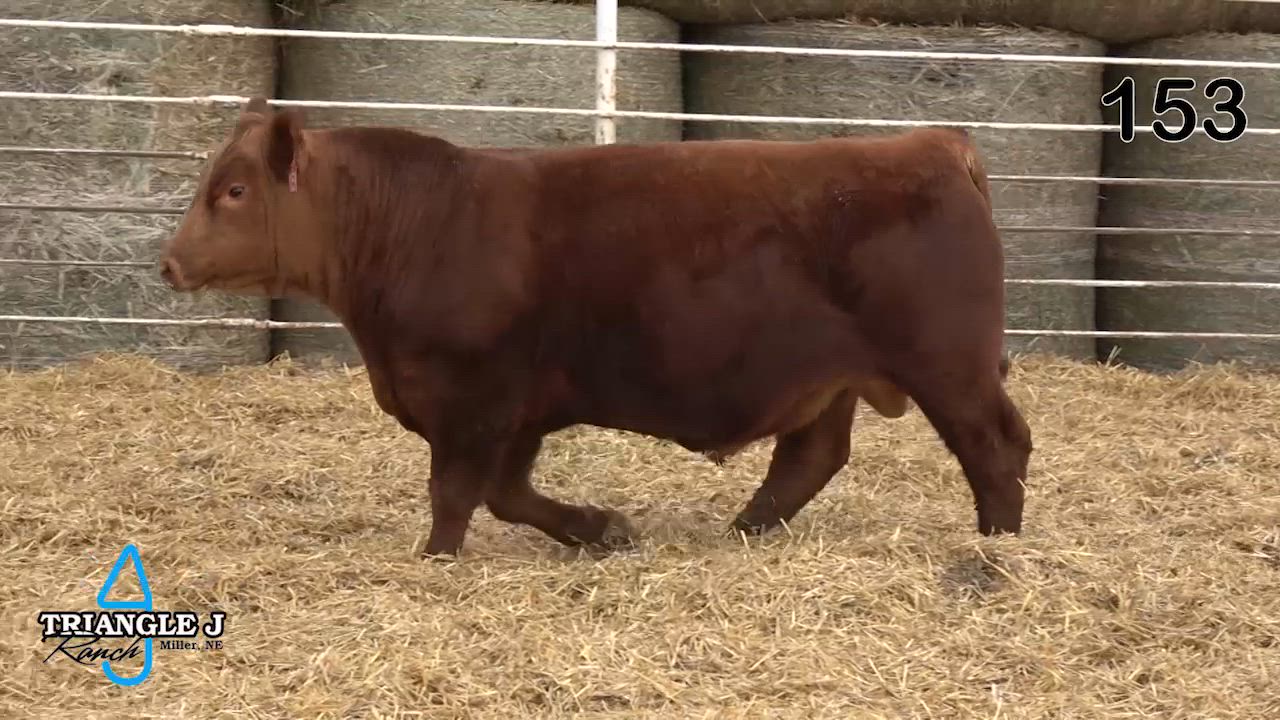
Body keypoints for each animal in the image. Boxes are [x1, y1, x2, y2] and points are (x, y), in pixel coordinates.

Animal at [158, 98, 1032, 558]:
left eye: (233, 190)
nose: (169, 263)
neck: (423, 224)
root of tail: (935, 145)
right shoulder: (517, 414)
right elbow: (508, 494)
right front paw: (599, 527)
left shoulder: (474, 401)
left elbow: (456, 492)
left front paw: (437, 557)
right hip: (831, 376)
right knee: (810, 458)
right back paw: (742, 529)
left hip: (948, 363)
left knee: (996, 444)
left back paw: (998, 546)